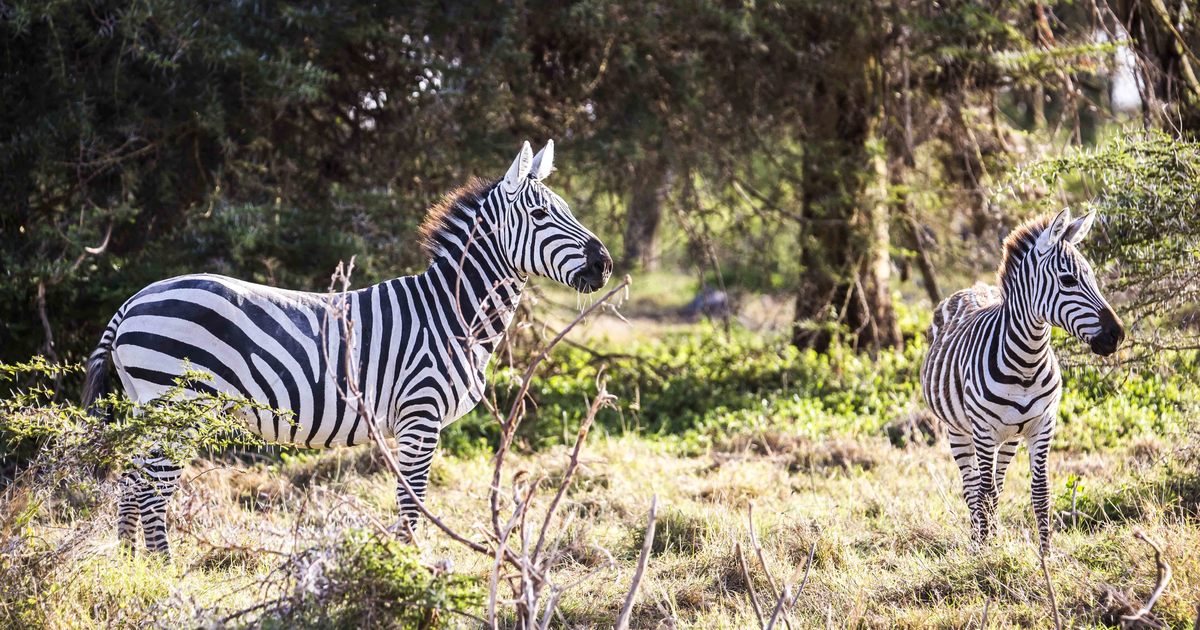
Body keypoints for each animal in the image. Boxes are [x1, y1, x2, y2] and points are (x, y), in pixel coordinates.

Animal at [82, 140, 613, 555]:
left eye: (566, 209)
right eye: (540, 215)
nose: (604, 264)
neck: (449, 312)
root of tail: (134, 300)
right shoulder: (420, 413)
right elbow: (411, 503)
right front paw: (411, 574)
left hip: (147, 405)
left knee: (131, 482)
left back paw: (130, 567)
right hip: (178, 404)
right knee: (151, 492)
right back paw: (163, 568)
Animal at [920, 208, 1124, 554]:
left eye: (1093, 278)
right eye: (1068, 280)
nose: (1117, 335)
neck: (1026, 362)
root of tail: (970, 288)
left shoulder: (1042, 425)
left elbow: (1039, 492)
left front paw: (1046, 554)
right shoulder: (983, 431)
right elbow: (984, 493)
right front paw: (987, 555)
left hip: (1010, 438)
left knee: (995, 485)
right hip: (959, 431)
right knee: (973, 488)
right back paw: (978, 542)